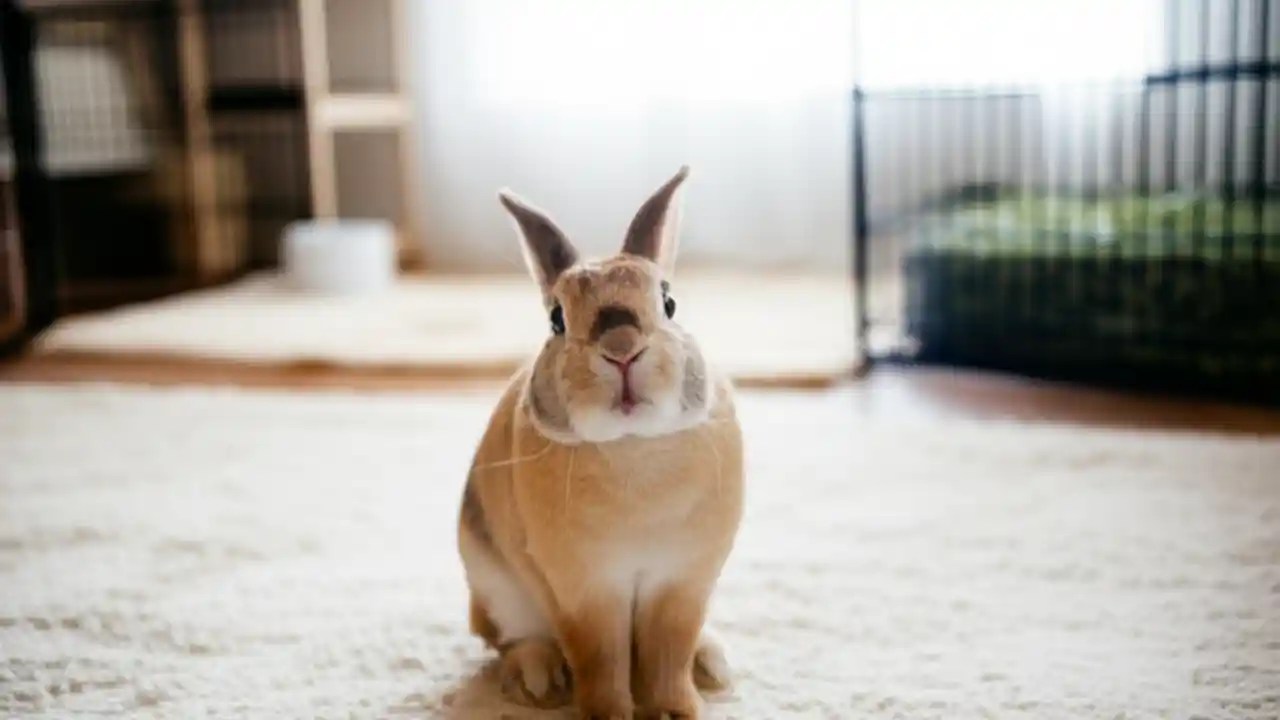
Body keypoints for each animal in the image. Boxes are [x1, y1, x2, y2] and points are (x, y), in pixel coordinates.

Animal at [457, 166, 744, 719]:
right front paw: (609, 713)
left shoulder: (683, 580)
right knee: (509, 637)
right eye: (557, 319)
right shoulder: (585, 589)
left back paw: (713, 664)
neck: (632, 443)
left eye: (669, 302)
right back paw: (539, 680)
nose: (621, 348)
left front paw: (674, 711)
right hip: (495, 588)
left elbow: (668, 652)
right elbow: (600, 656)